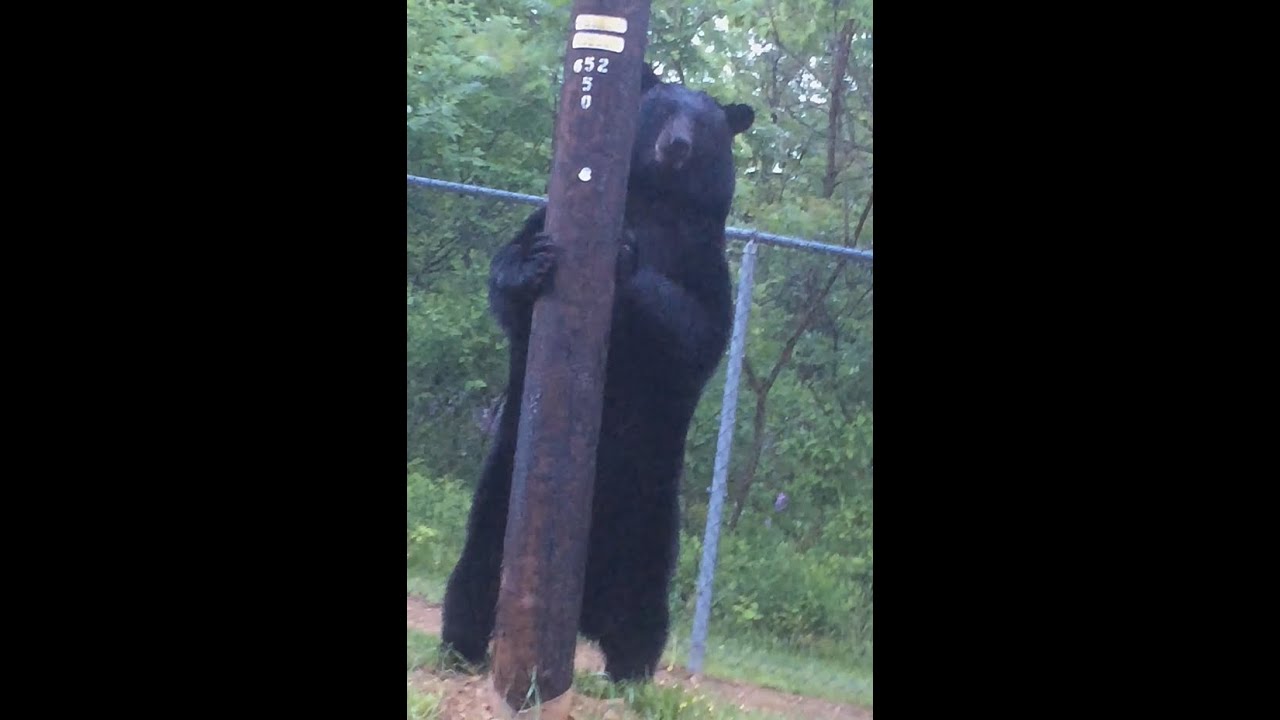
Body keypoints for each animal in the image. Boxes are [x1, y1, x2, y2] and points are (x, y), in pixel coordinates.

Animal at [440, 64, 755, 683]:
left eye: (703, 125)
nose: (676, 147)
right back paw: (459, 649)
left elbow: (696, 326)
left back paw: (629, 673)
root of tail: (581, 614)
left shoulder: (704, 260)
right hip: (504, 495)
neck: (656, 201)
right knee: (476, 576)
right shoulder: (549, 213)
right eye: (662, 111)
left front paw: (625, 261)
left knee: (642, 612)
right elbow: (509, 278)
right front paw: (531, 264)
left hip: (649, 525)